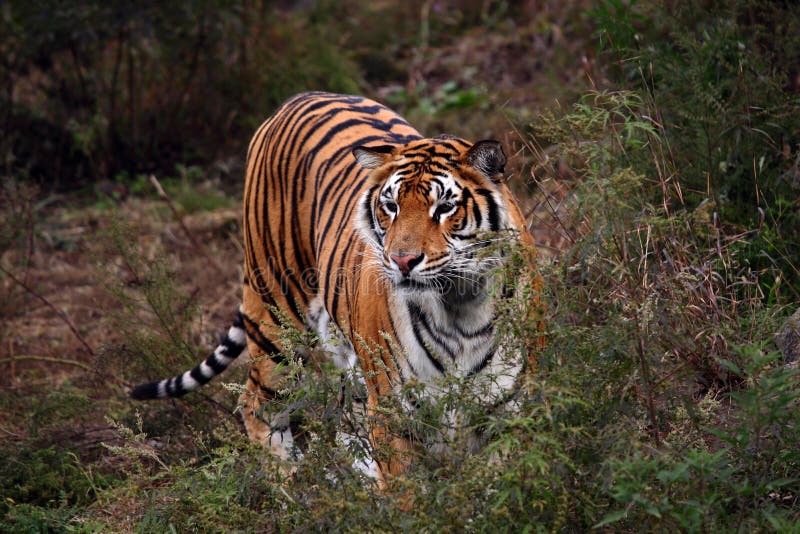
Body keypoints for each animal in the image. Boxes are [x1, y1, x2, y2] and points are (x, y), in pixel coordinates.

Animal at [131, 91, 545, 484]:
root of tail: (295, 97)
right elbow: (409, 493)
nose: (402, 261)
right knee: (256, 403)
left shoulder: (510, 405)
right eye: (391, 206)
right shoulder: (393, 408)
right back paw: (292, 484)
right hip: (277, 317)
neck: (459, 303)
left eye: (444, 208)